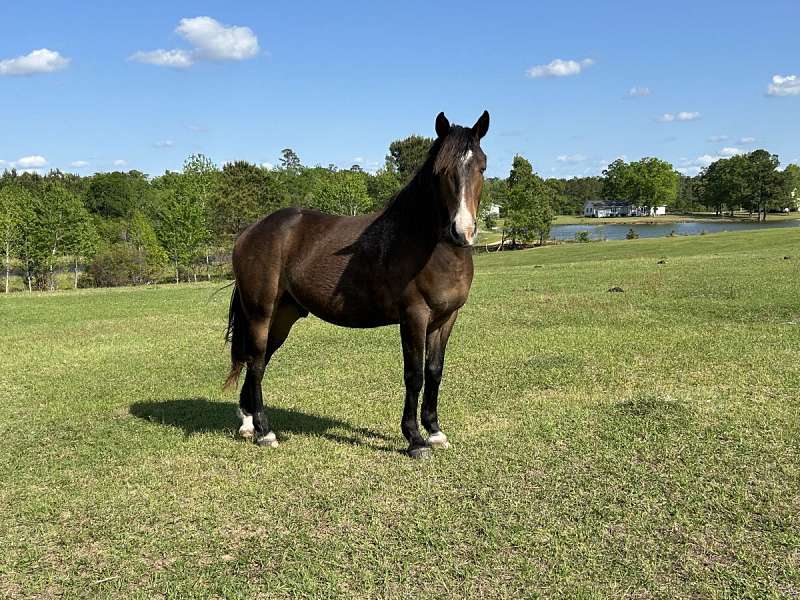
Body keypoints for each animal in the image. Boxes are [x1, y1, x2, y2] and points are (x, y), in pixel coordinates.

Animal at [224, 110, 489, 458]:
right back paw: (265, 432)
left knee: (259, 361)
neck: (425, 244)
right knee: (255, 364)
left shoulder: (445, 318)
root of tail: (250, 232)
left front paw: (434, 432)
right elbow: (414, 375)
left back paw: (248, 424)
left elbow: (434, 372)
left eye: (482, 166)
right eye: (442, 171)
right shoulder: (414, 317)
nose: (462, 231)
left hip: (282, 317)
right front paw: (415, 440)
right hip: (260, 314)